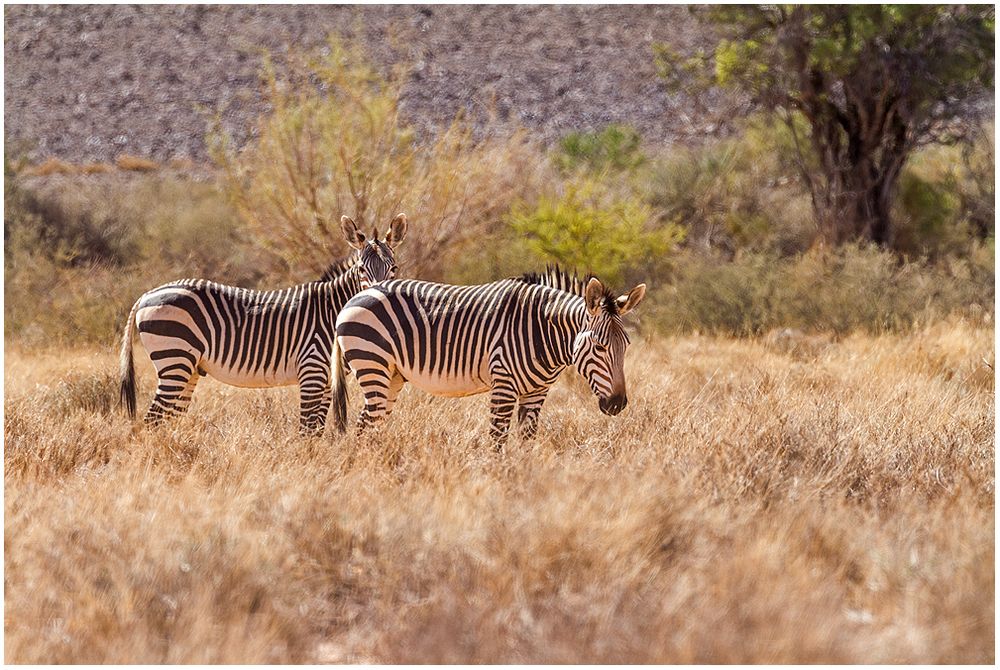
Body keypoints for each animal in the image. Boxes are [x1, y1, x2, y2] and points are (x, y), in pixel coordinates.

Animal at [118, 213, 408, 434]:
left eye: (394, 268)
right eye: (361, 270)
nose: (379, 295)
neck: (331, 309)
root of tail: (148, 293)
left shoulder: (325, 380)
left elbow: (316, 428)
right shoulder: (312, 369)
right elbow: (306, 428)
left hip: (187, 368)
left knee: (166, 418)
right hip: (174, 358)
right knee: (153, 418)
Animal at [331, 267, 646, 447]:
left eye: (626, 345)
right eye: (599, 346)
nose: (617, 404)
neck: (542, 331)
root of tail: (354, 297)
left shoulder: (537, 391)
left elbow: (527, 440)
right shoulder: (503, 384)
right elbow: (497, 440)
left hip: (392, 377)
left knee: (371, 425)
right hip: (372, 365)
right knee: (364, 425)